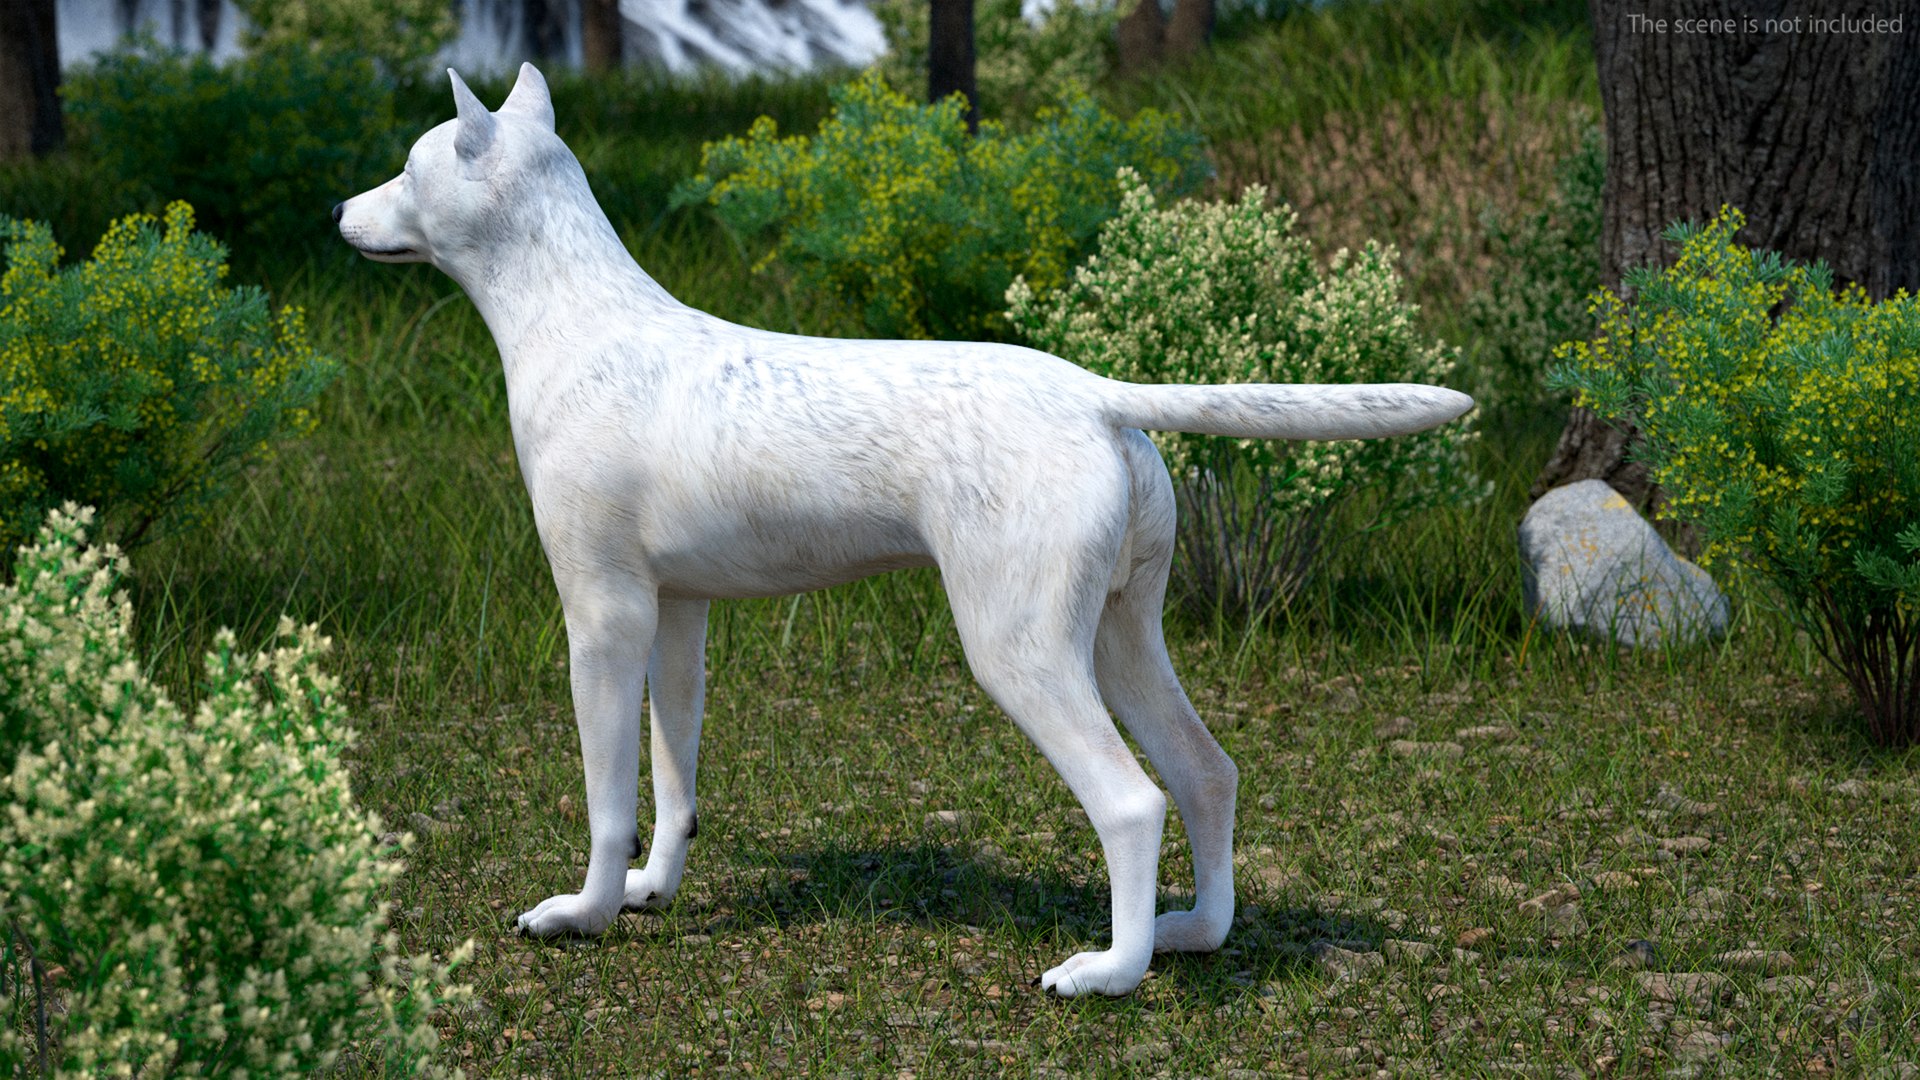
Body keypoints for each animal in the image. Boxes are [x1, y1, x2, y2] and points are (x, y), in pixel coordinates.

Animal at [334, 63, 1472, 996]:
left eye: (411, 165)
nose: (340, 210)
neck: (576, 318)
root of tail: (1098, 397)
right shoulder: (678, 615)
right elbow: (676, 775)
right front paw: (654, 889)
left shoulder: (601, 616)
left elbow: (609, 793)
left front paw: (584, 914)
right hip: (1118, 629)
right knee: (1206, 771)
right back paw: (1192, 933)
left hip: (1019, 645)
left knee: (1131, 801)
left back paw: (1109, 972)